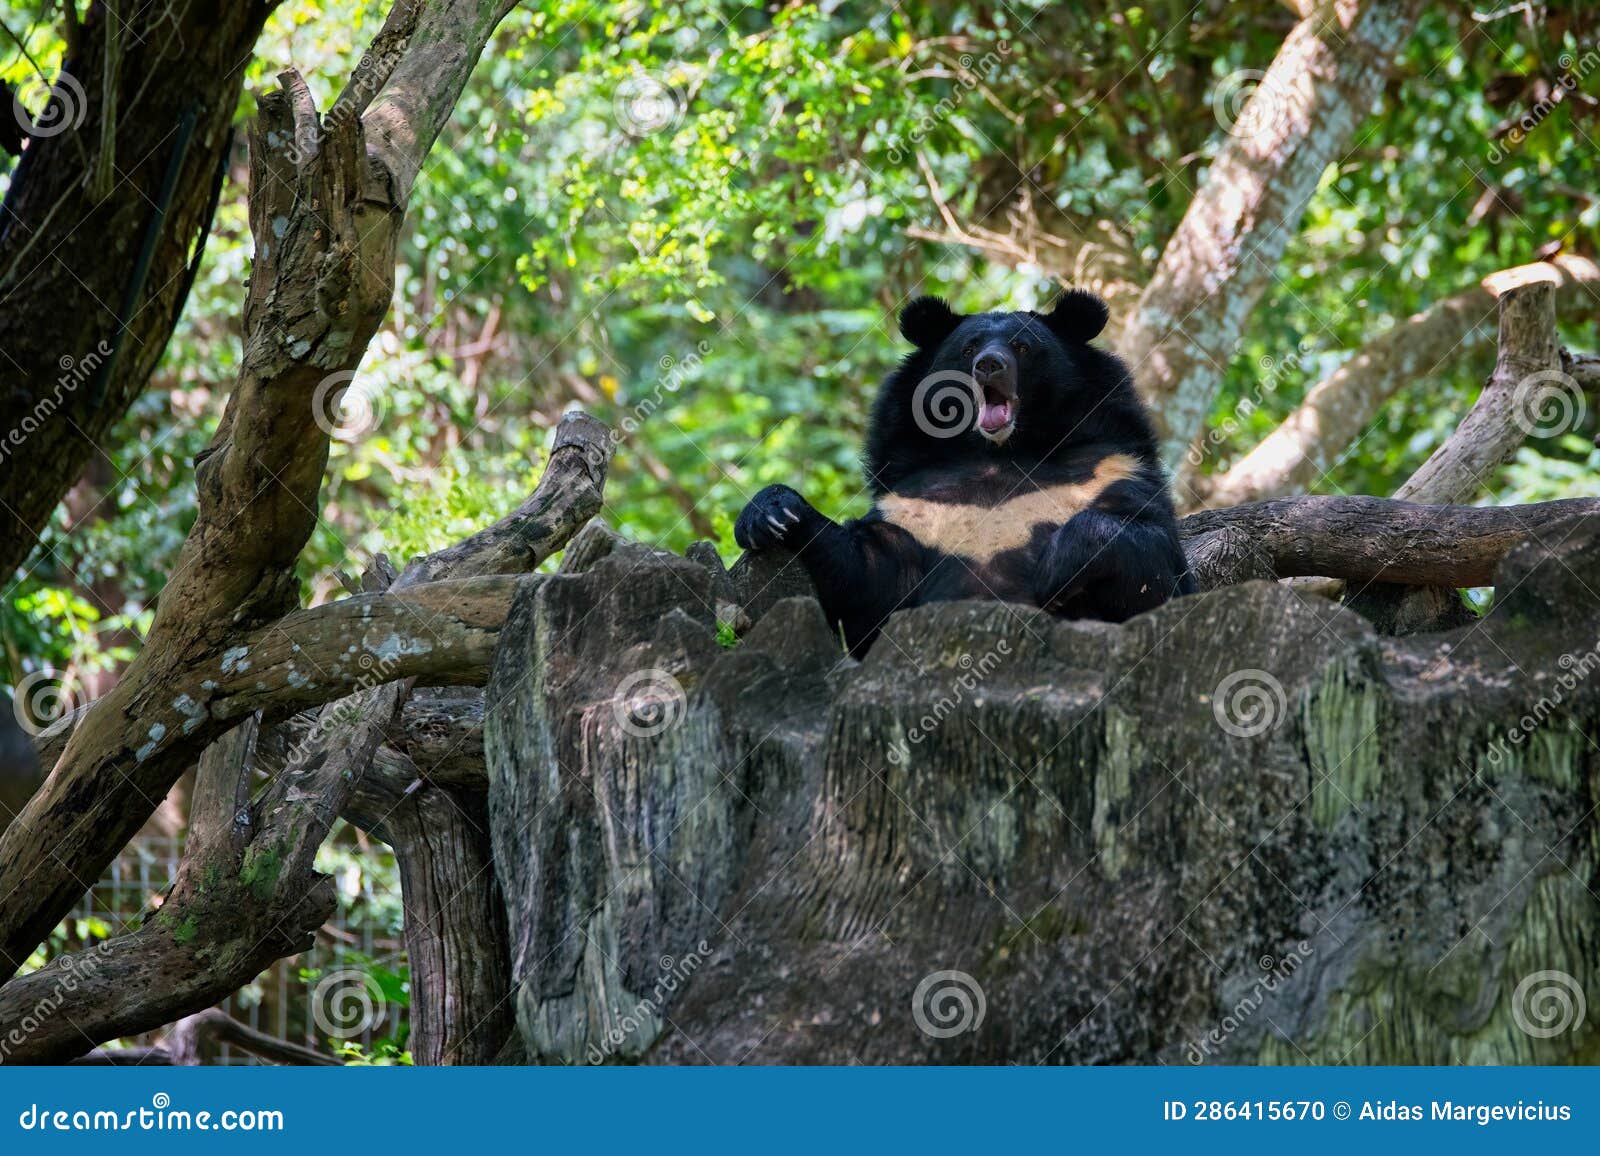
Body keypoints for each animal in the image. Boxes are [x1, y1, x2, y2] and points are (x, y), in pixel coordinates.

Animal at [734, 289, 1194, 656]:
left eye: (1023, 347)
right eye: (968, 349)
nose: (989, 365)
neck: (1000, 452)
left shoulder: (1110, 467)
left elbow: (1154, 567)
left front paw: (1057, 567)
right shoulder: (912, 503)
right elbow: (870, 581)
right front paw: (772, 514)